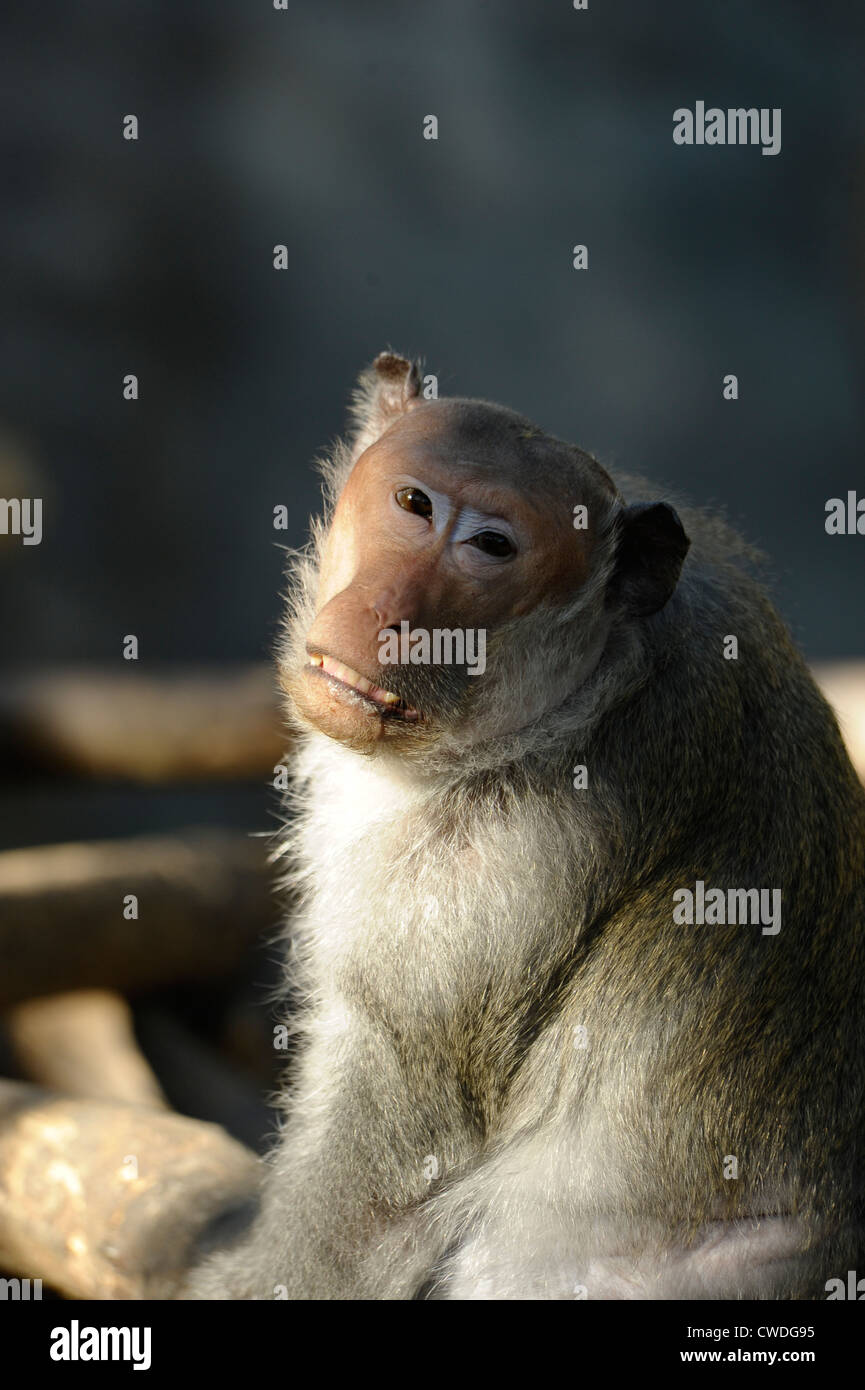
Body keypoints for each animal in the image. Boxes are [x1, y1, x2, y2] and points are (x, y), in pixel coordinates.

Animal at [187, 350, 865, 1300]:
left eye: (492, 547)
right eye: (414, 504)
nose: (389, 613)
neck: (578, 688)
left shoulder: (506, 853)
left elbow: (393, 1145)